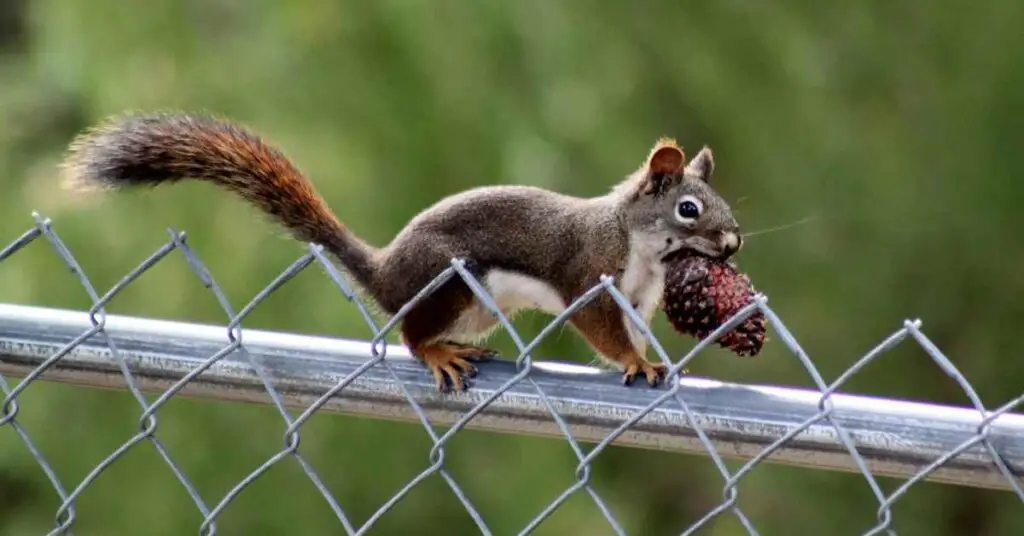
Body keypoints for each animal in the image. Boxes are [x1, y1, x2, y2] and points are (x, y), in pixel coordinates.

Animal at [60, 112, 743, 392]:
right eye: (689, 208)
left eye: (723, 202)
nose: (734, 242)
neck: (644, 250)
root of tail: (386, 272)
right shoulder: (589, 274)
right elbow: (602, 330)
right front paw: (634, 363)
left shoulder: (640, 296)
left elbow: (639, 330)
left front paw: (655, 359)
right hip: (451, 280)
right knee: (412, 335)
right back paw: (438, 353)